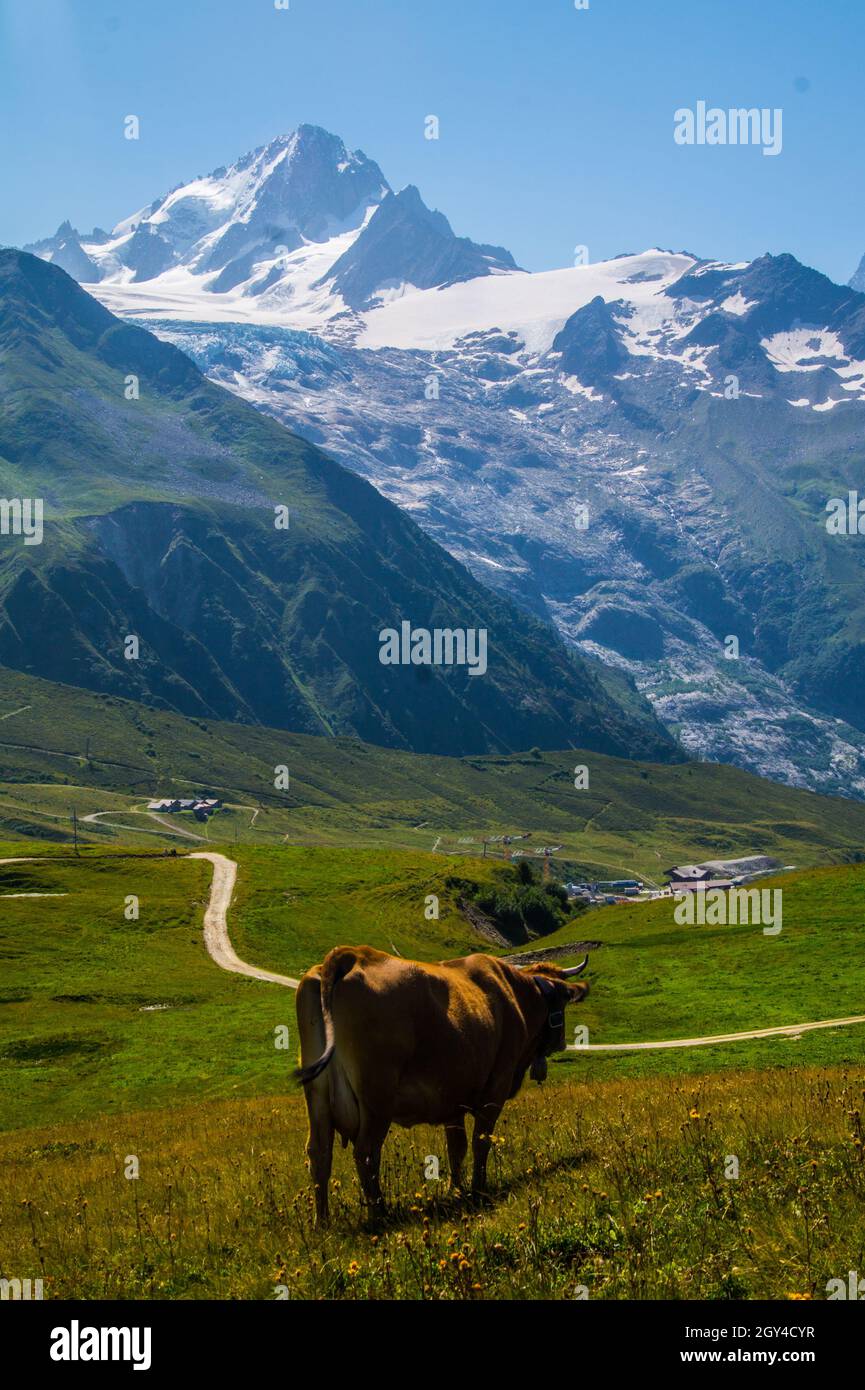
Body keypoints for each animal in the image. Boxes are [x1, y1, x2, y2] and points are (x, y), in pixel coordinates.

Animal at [294, 946, 590, 1225]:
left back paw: (322, 1221)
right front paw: (478, 1188)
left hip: (318, 1097)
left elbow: (456, 1148)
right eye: (564, 1005)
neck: (516, 997)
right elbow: (481, 1141)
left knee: (319, 1152)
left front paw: (455, 1189)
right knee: (366, 1152)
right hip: (377, 1099)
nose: (561, 1042)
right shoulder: (496, 1088)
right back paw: (379, 1214)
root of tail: (351, 955)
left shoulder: (452, 1100)